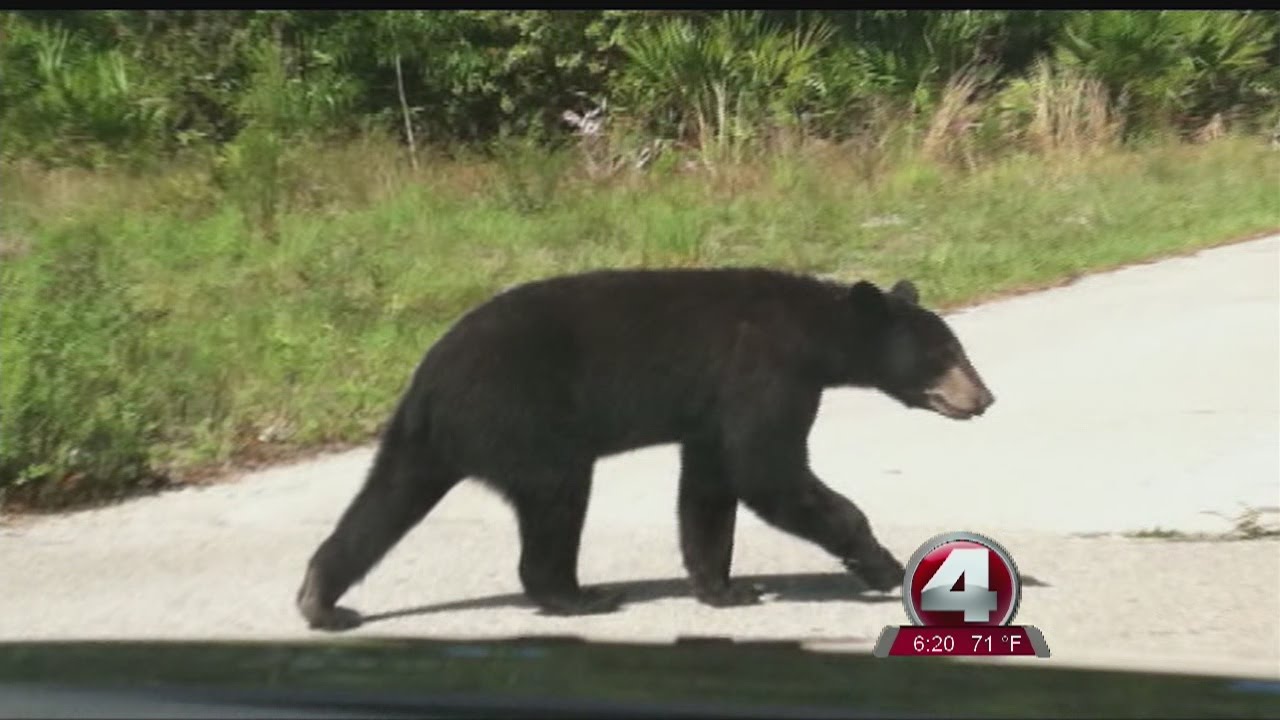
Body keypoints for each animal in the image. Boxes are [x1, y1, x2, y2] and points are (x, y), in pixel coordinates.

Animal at [295, 268, 995, 630]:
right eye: (944, 354)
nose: (984, 397)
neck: (813, 335)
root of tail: (428, 381)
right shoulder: (763, 373)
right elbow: (767, 470)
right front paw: (882, 565)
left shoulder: (713, 408)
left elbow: (710, 488)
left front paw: (724, 588)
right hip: (525, 416)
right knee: (558, 495)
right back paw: (577, 596)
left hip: (426, 442)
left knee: (381, 504)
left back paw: (321, 600)